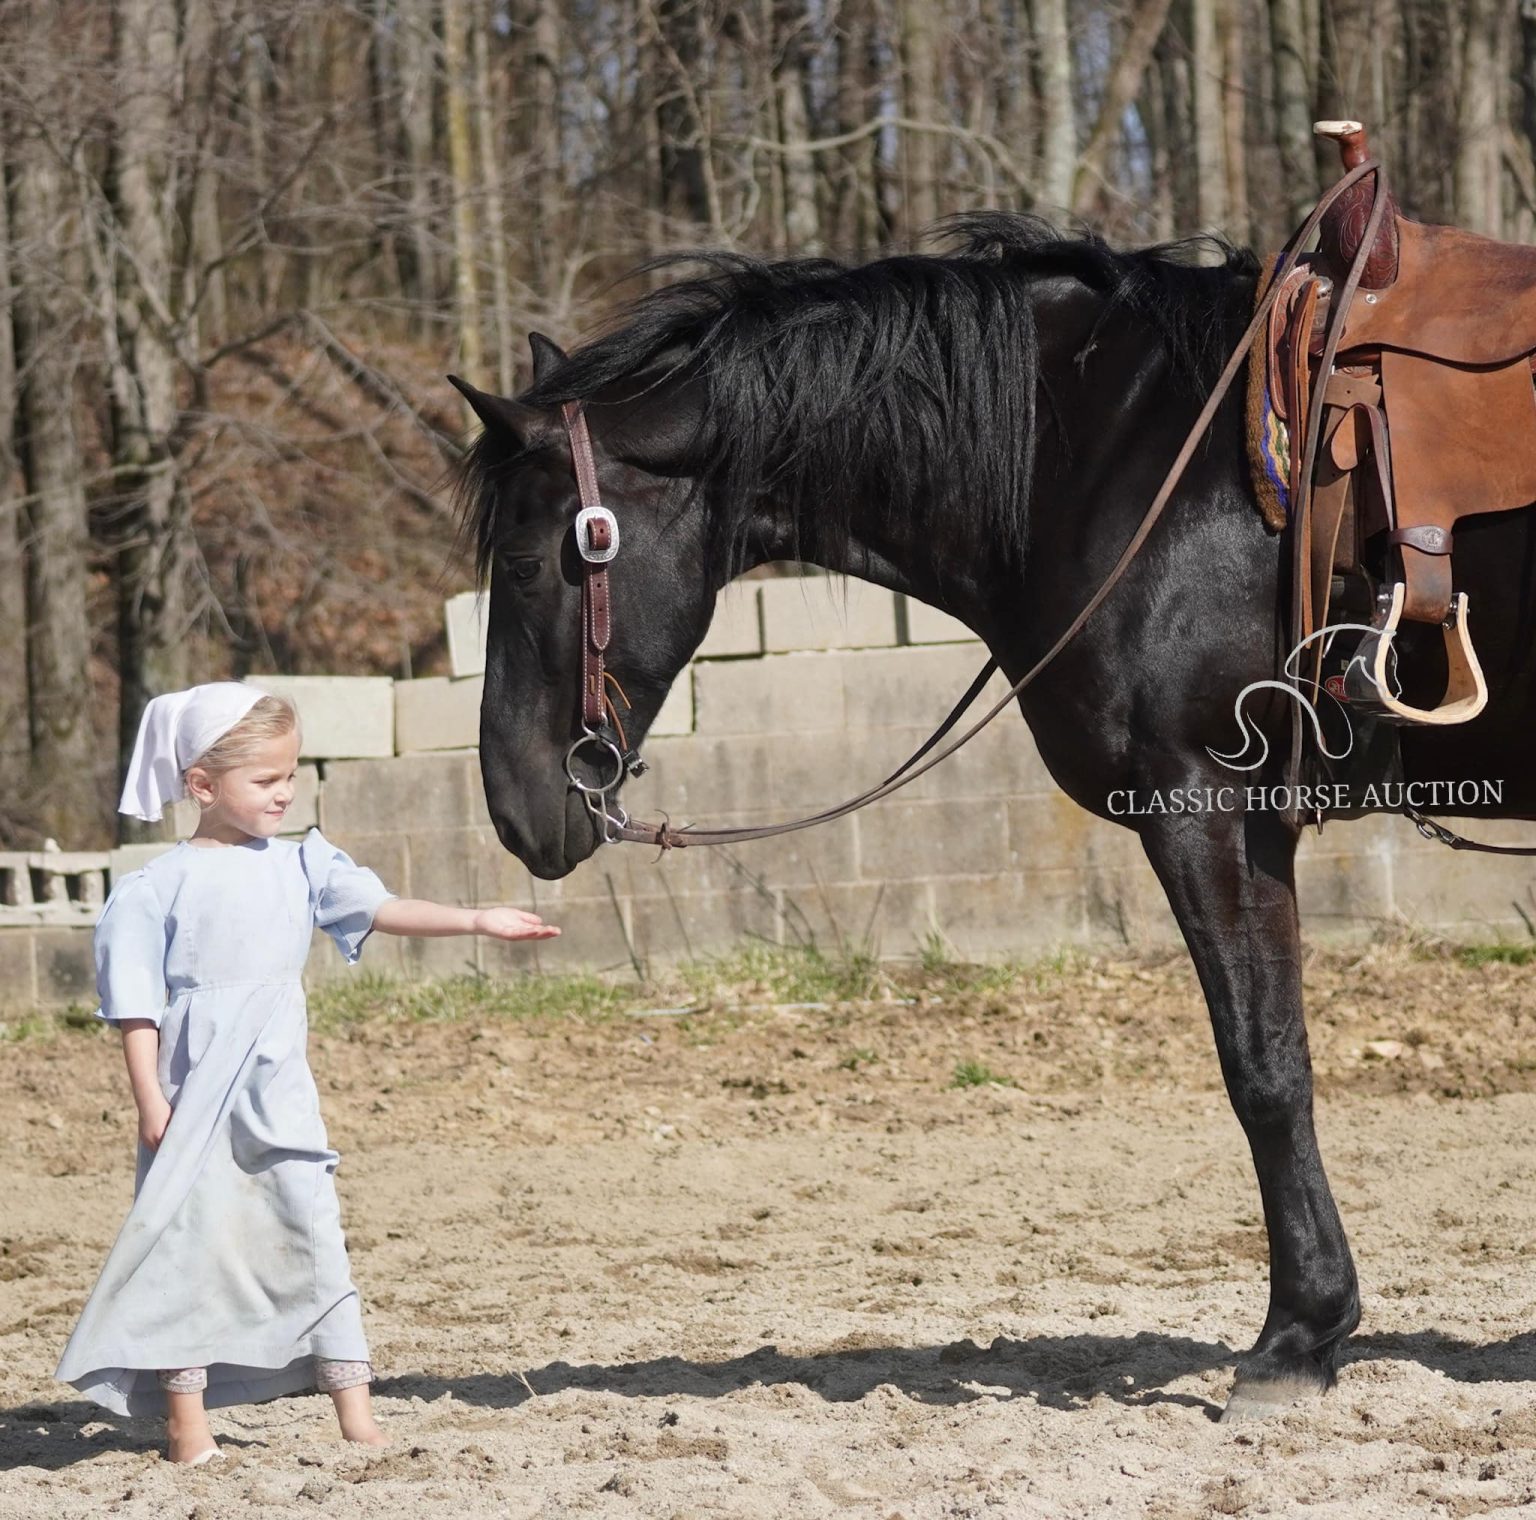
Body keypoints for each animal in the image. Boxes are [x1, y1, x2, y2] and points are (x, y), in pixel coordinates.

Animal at [448, 213, 1536, 1420]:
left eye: (529, 560)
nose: (516, 806)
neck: (1126, 448)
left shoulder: (1203, 804)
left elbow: (1263, 1063)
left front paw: (1298, 1334)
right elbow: (1278, 1052)